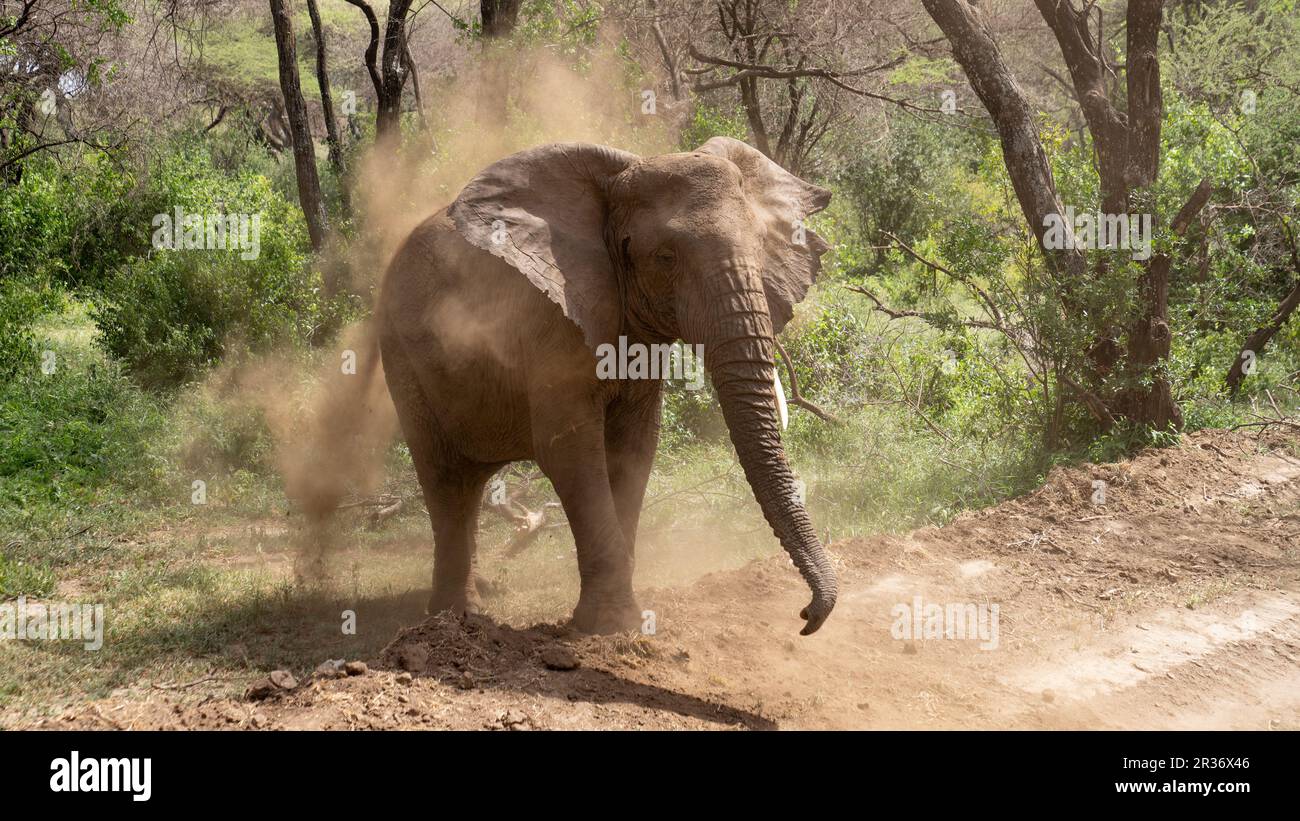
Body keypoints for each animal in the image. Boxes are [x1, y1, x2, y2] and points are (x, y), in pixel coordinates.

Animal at [376, 137, 838, 636]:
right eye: (666, 258)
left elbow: (635, 448)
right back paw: (454, 619)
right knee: (443, 475)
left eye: (761, 248)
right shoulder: (552, 318)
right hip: (400, 353)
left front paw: (616, 622)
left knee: (470, 482)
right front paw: (614, 627)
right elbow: (569, 451)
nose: (806, 617)